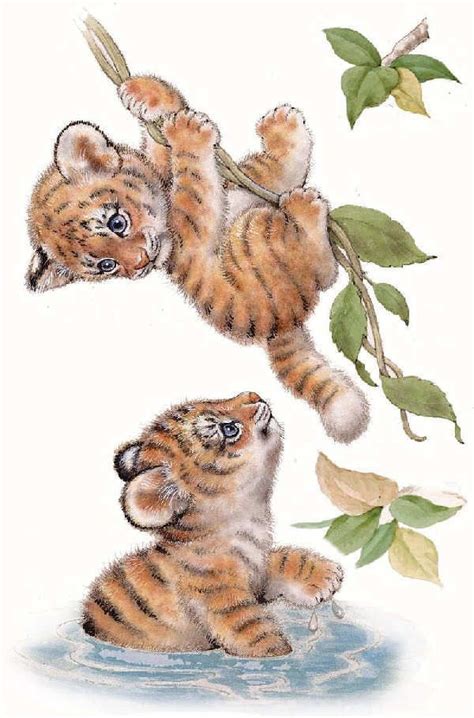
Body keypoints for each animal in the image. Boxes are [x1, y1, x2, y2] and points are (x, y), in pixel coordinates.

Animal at [26, 75, 368, 443]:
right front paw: (188, 132)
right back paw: (305, 208)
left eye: (117, 223)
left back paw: (283, 127)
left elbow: (163, 140)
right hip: (254, 234)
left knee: (276, 169)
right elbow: (195, 181)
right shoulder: (192, 226)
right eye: (107, 266)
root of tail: (284, 322)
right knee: (324, 271)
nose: (139, 266)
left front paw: (145, 95)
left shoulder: (175, 170)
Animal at [82, 391, 343, 657]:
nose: (255, 395)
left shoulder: (258, 572)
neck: (247, 520)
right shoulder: (222, 600)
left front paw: (325, 576)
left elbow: (282, 558)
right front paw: (284, 656)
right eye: (229, 429)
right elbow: (255, 632)